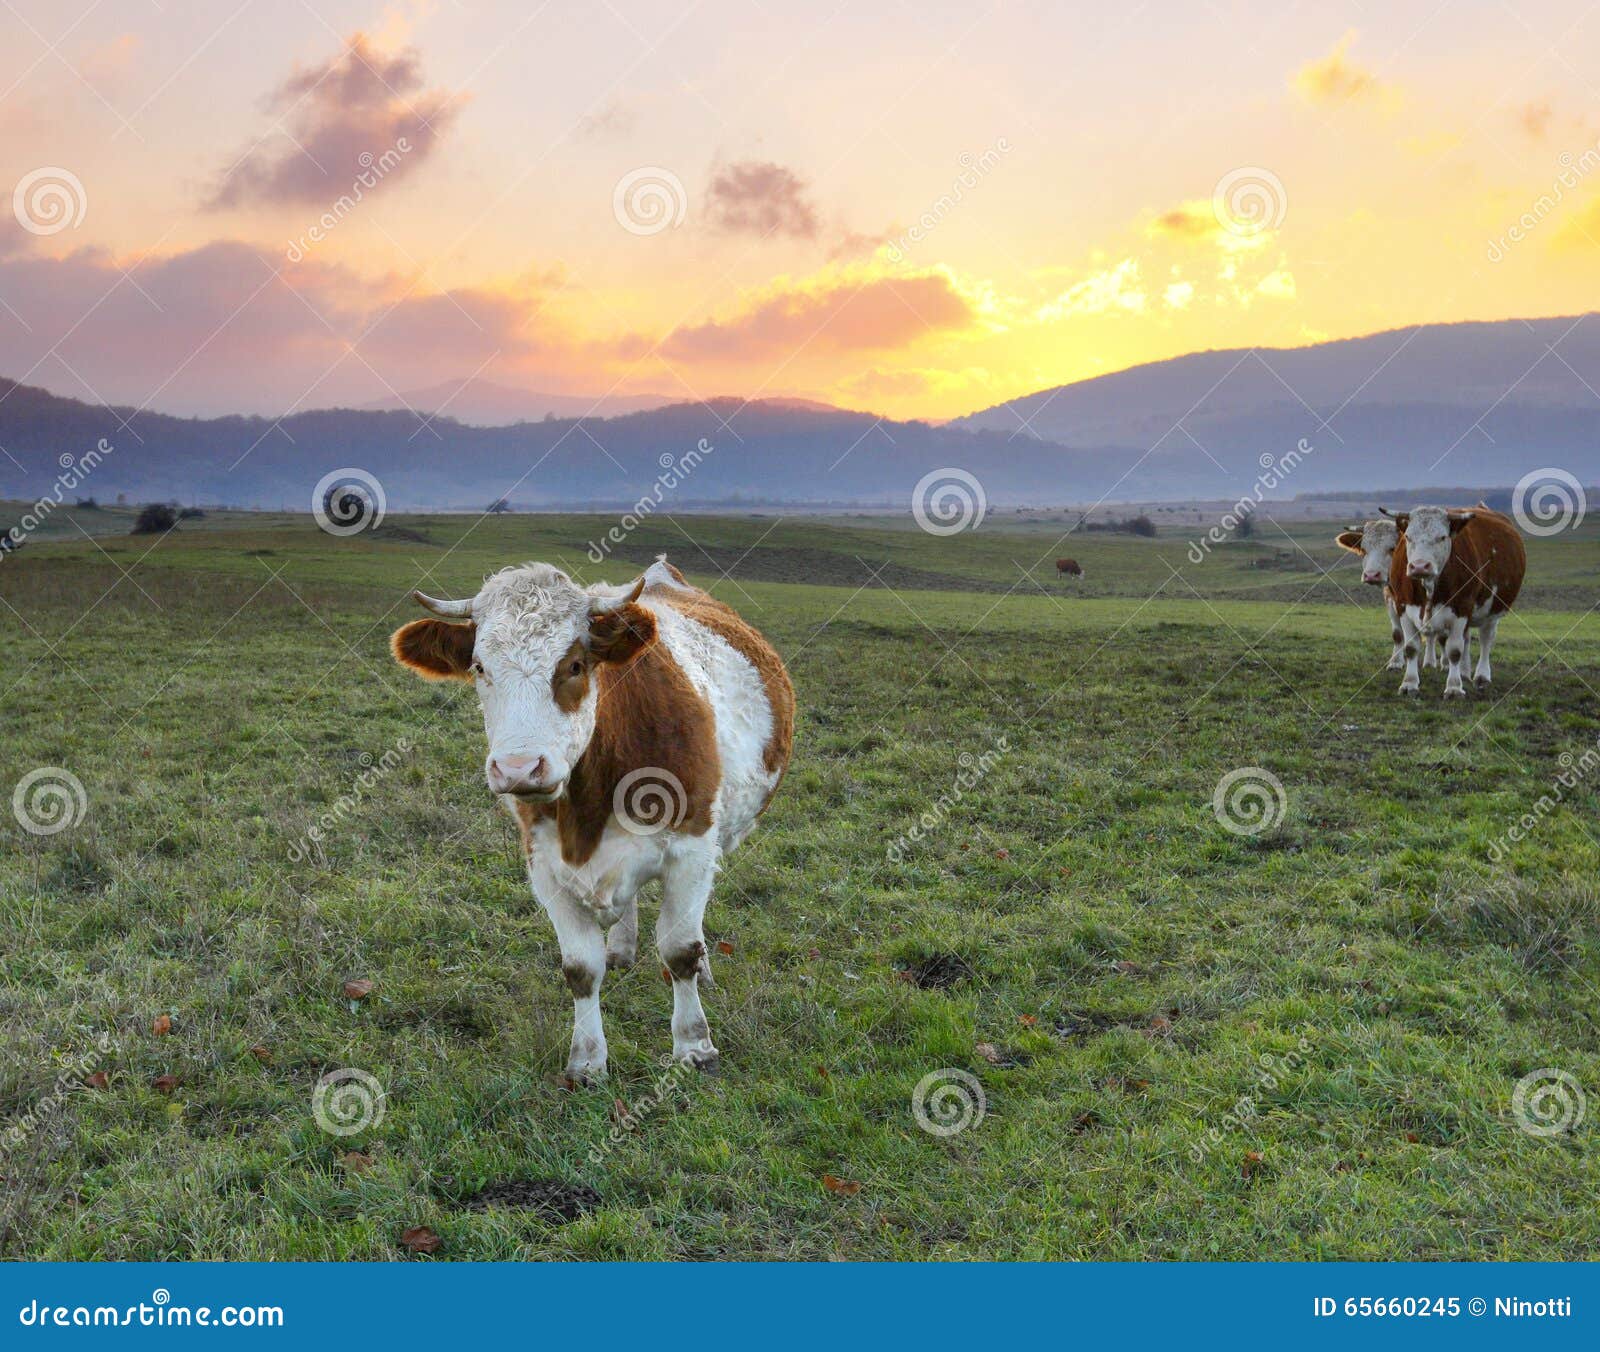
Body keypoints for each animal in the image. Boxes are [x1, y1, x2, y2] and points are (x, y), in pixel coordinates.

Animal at [391, 556, 795, 1081]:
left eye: (575, 665)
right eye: (480, 667)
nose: (518, 768)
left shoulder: (691, 848)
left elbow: (679, 950)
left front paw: (694, 1044)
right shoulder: (544, 866)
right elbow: (580, 968)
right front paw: (586, 1059)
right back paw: (621, 949)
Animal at [1398, 506, 1525, 697]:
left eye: (1442, 537)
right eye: (1408, 536)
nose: (1419, 566)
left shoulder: (1462, 609)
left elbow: (1454, 650)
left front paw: (1454, 687)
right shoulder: (1403, 608)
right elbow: (1411, 648)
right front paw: (1409, 683)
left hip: (1492, 611)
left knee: (1485, 639)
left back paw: (1482, 675)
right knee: (1467, 638)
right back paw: (1465, 673)